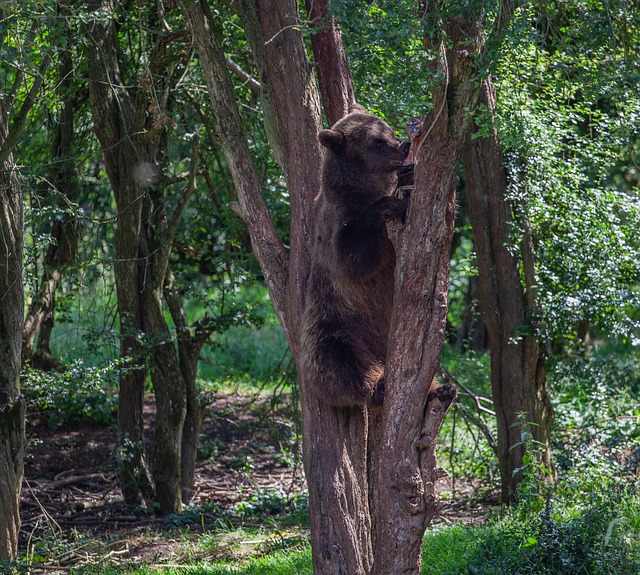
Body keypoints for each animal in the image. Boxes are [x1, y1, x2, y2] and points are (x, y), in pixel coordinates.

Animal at [300, 110, 414, 407]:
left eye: (390, 130)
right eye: (377, 142)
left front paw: (408, 174)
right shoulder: (335, 221)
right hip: (334, 322)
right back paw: (378, 386)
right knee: (339, 361)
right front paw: (390, 204)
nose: (403, 146)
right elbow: (355, 259)